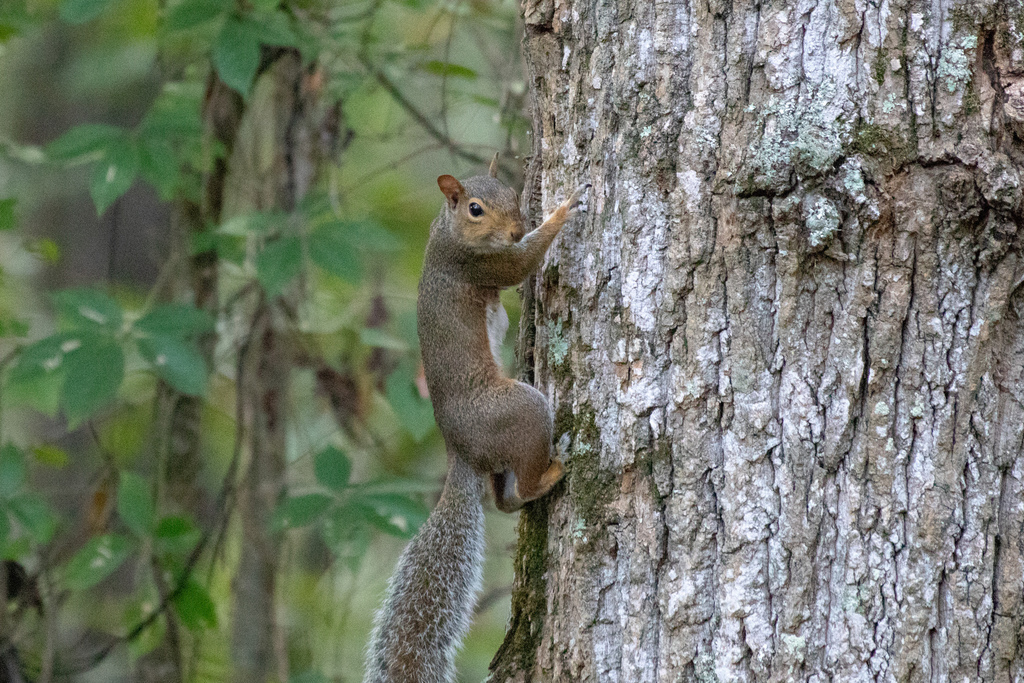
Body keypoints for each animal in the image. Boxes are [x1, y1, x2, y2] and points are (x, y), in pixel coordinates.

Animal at [363, 157, 589, 683]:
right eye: (475, 209)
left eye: (510, 195)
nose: (517, 229)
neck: (446, 231)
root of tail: (460, 450)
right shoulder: (474, 263)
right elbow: (520, 265)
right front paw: (562, 211)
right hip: (518, 412)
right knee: (522, 483)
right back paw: (552, 473)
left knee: (505, 500)